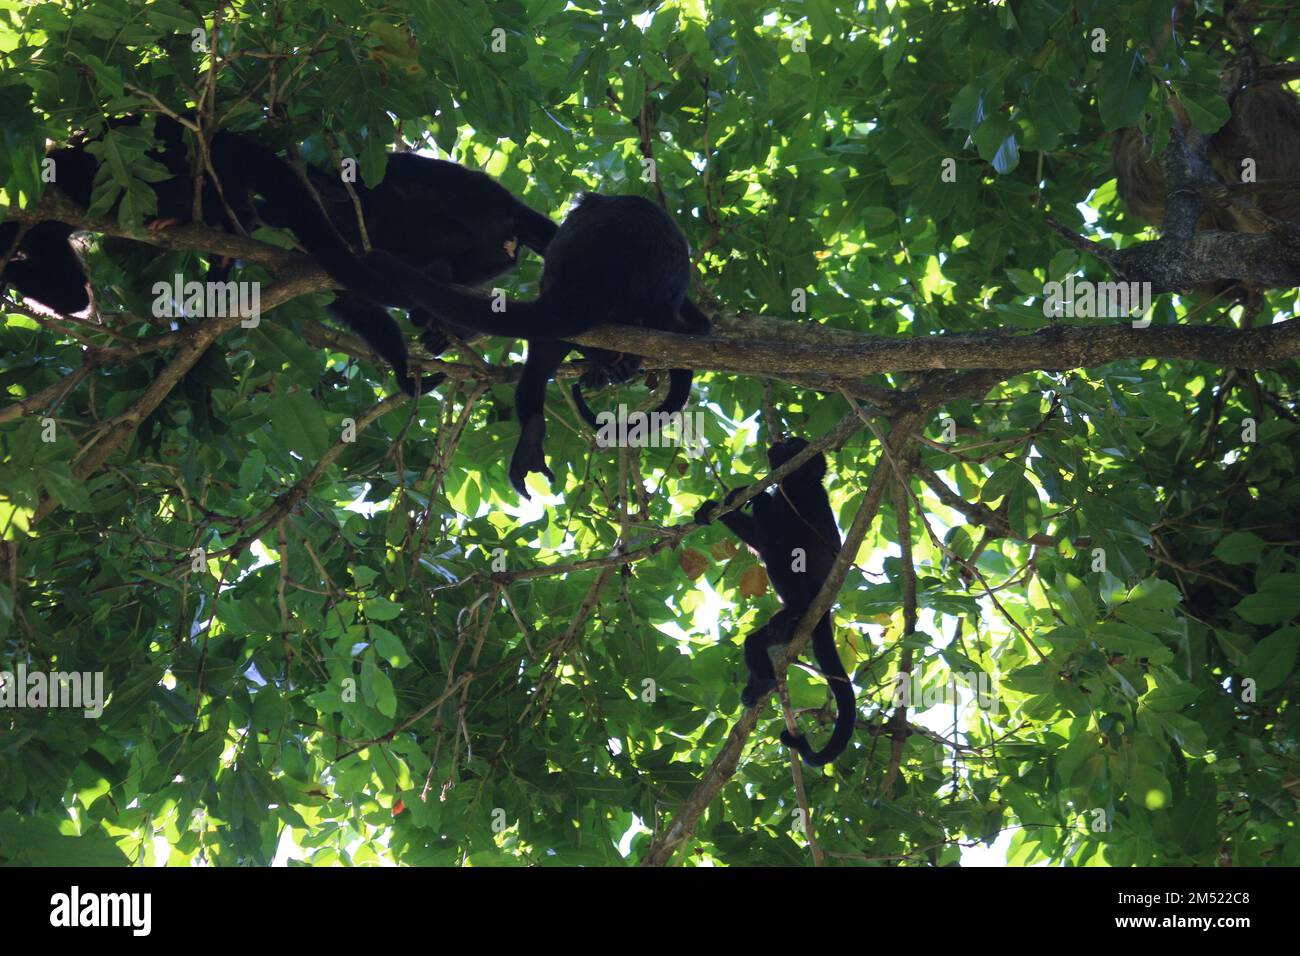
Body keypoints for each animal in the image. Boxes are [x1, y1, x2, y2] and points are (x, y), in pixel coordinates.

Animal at [694, 437, 856, 766]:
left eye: (793, 445)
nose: (778, 441)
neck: (797, 483)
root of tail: (823, 611)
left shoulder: (802, 499)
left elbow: (779, 540)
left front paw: (756, 497)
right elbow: (760, 537)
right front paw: (716, 506)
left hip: (807, 596)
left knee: (780, 554)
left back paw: (795, 608)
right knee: (755, 642)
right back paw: (761, 684)